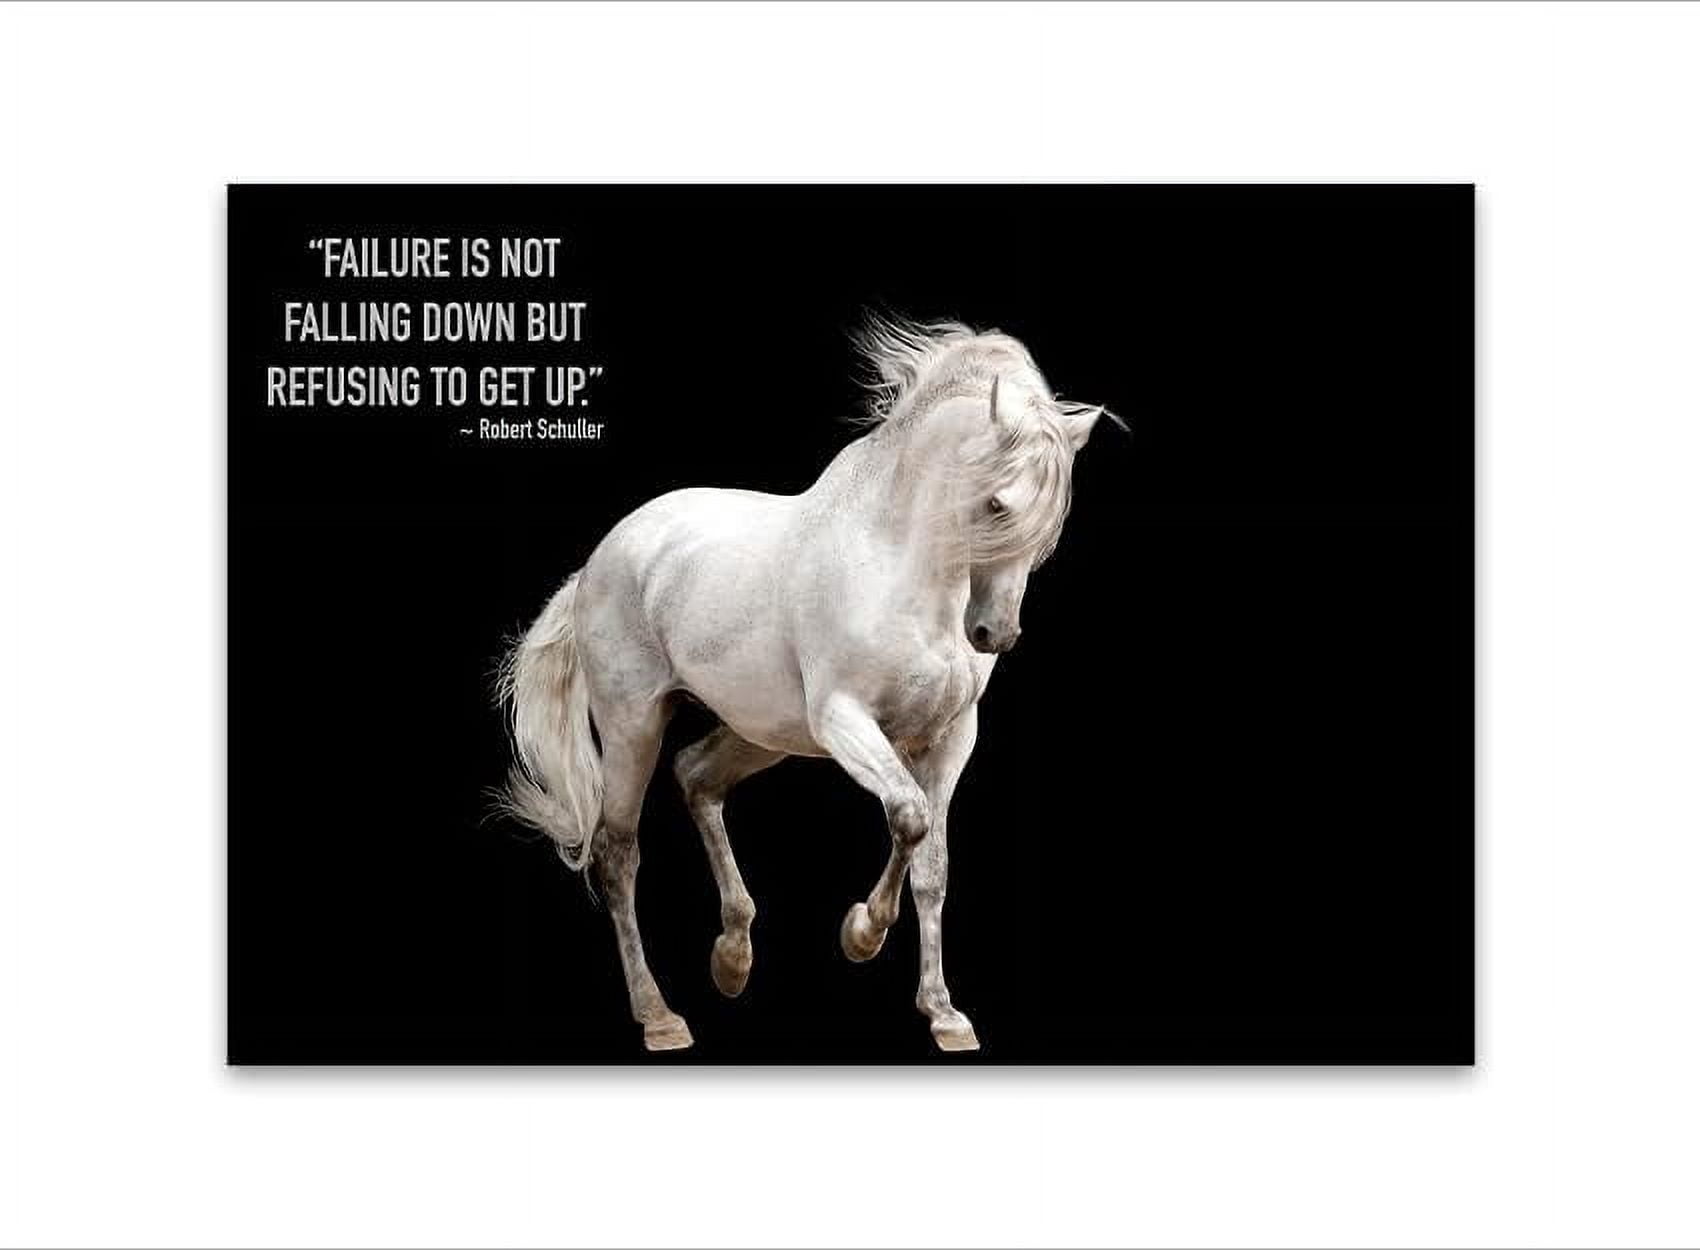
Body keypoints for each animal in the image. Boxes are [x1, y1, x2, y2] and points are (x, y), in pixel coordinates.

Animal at [498, 317, 1116, 1052]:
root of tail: (598, 561)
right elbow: (908, 818)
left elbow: (933, 866)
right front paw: (861, 935)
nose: (993, 634)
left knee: (696, 776)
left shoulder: (949, 738)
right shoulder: (845, 720)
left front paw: (943, 1014)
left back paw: (733, 957)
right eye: (997, 503)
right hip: (633, 726)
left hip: (763, 731)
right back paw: (660, 1016)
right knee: (617, 854)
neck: (901, 566)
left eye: (1053, 525)